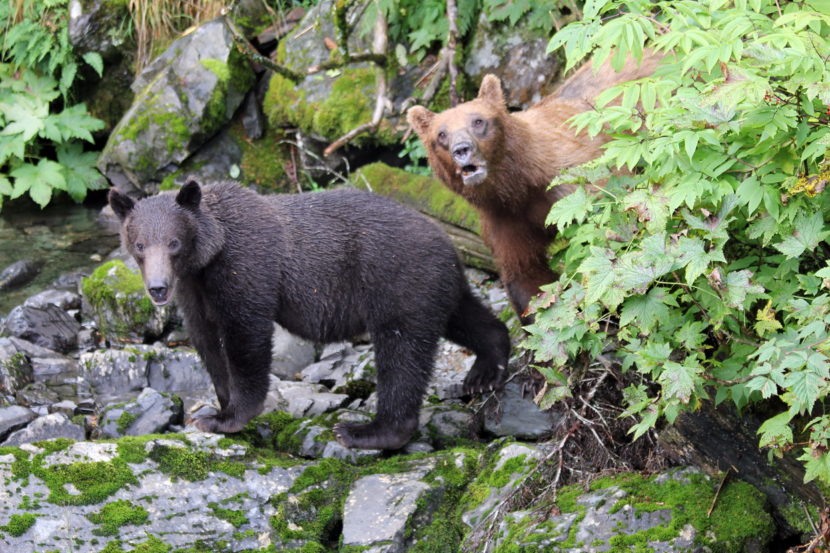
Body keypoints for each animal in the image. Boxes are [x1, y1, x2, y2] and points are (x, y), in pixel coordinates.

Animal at [108, 179, 511, 450]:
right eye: (139, 244)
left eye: (173, 242)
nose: (158, 288)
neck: (208, 256)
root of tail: (450, 244)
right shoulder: (195, 288)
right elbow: (207, 341)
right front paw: (216, 406)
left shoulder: (247, 266)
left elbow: (245, 336)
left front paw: (225, 417)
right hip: (434, 285)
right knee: (465, 316)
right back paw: (486, 369)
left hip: (397, 281)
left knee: (401, 354)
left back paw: (366, 431)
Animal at [406, 52, 663, 318]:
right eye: (441, 134)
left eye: (478, 121)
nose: (461, 149)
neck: (519, 185)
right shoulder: (504, 219)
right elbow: (525, 274)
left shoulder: (576, 184)